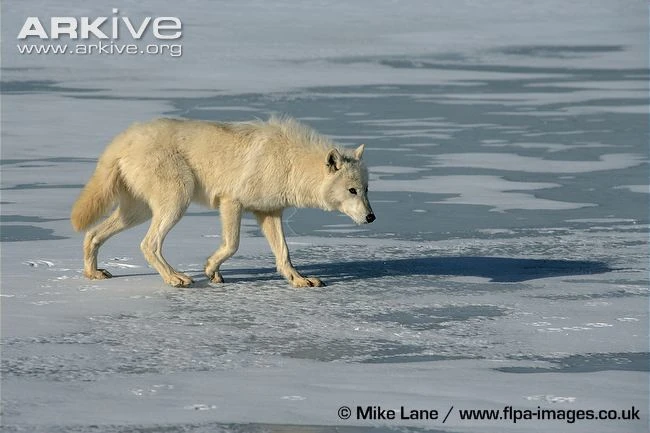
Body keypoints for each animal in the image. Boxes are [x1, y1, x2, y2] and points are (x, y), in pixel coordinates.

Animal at [70, 116, 375, 288]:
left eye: (366, 189)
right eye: (351, 191)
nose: (372, 218)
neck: (291, 163)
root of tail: (123, 139)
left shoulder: (269, 211)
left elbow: (284, 252)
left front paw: (300, 280)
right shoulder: (232, 202)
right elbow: (232, 244)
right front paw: (210, 270)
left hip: (138, 211)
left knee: (93, 234)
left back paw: (93, 273)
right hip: (176, 202)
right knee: (149, 244)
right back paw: (175, 278)